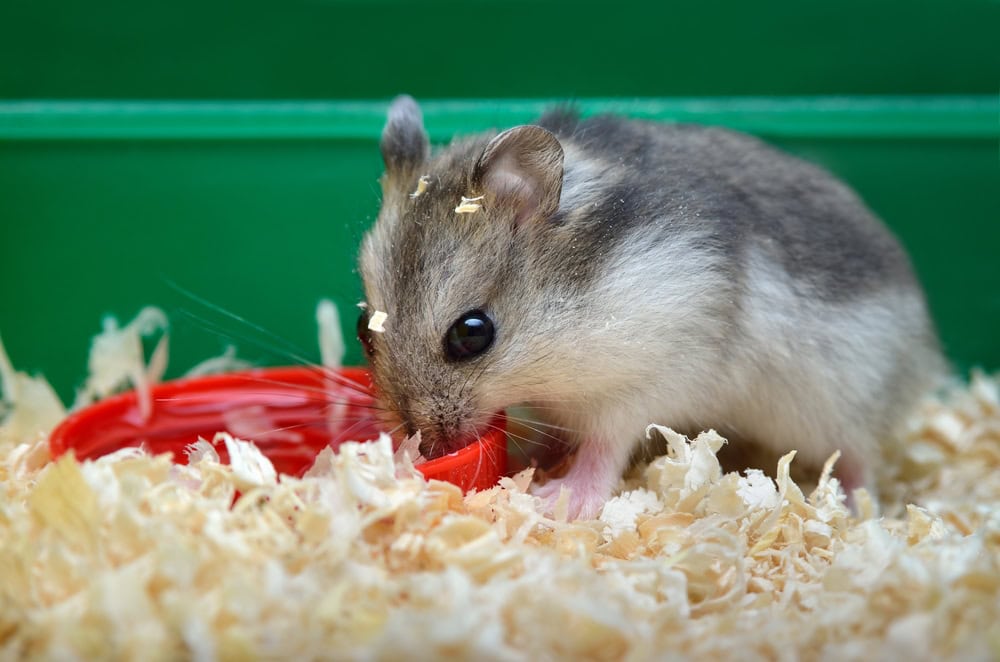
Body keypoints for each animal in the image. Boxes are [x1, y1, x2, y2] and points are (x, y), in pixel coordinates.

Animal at [356, 95, 945, 519]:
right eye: (364, 326)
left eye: (472, 333)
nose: (422, 445)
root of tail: (928, 353)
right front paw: (530, 466)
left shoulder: (634, 391)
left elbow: (602, 453)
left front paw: (554, 501)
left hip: (841, 407)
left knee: (860, 460)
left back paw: (852, 509)